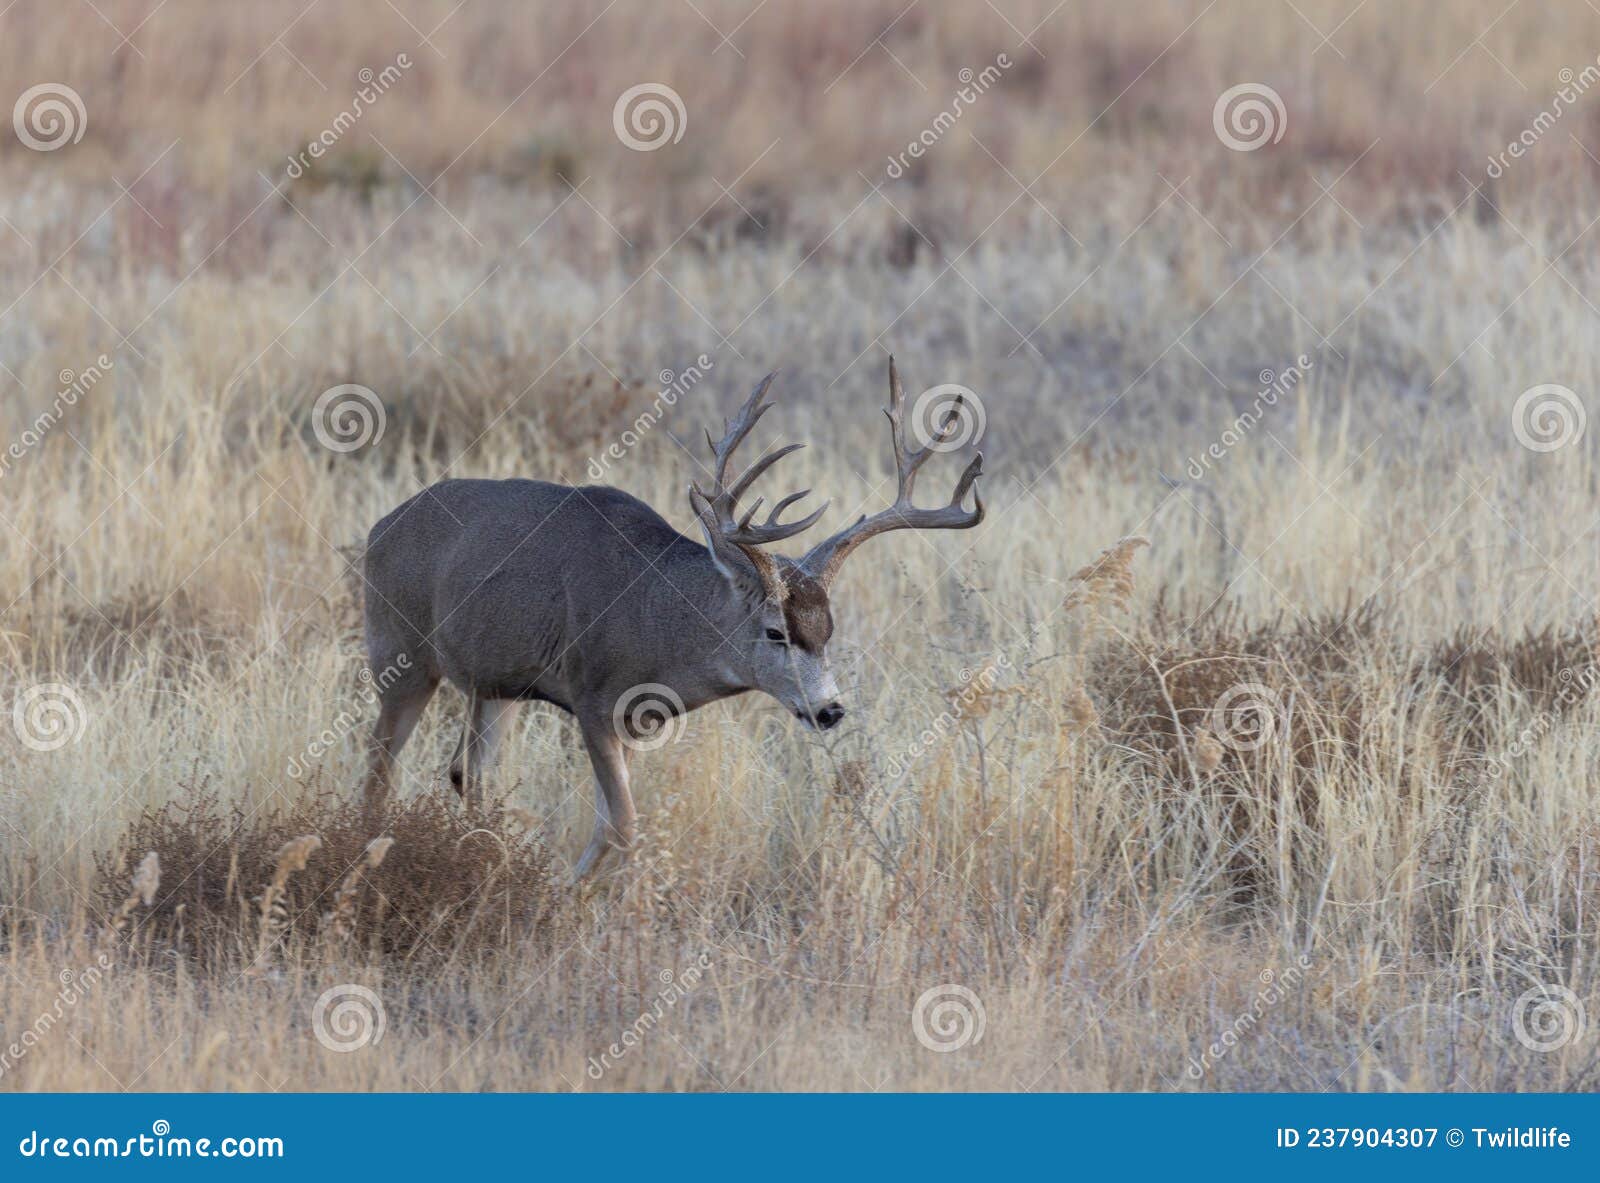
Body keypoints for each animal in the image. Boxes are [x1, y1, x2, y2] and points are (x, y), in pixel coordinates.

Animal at [359, 358, 984, 877]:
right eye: (775, 631)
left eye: (828, 629)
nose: (829, 709)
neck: (654, 622)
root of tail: (377, 529)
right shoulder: (591, 696)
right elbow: (623, 825)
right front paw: (562, 895)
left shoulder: (635, 719)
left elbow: (612, 822)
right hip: (401, 653)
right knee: (379, 767)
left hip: (496, 683)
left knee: (467, 771)